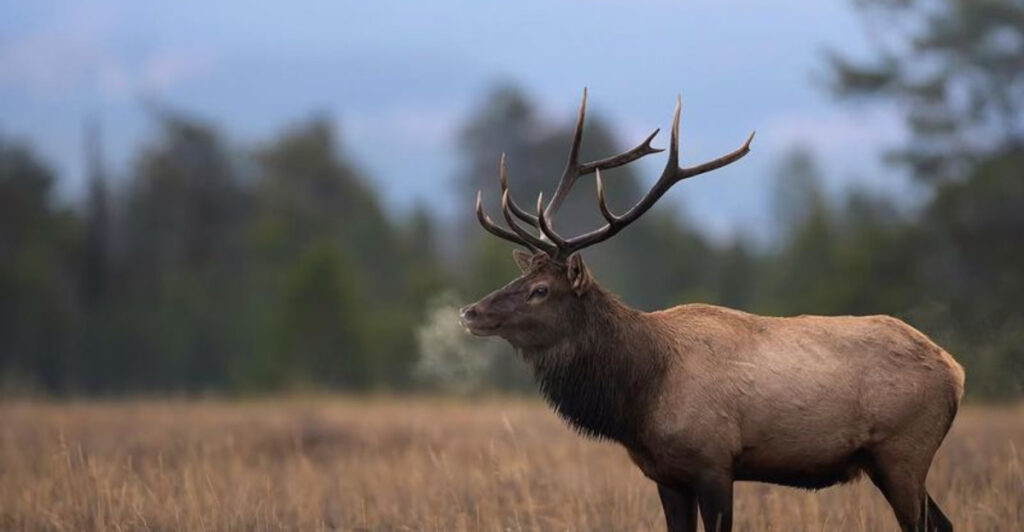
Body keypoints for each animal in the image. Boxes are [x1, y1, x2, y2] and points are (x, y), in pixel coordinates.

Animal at [459, 89, 965, 532]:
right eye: (521, 279)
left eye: (540, 290)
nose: (469, 312)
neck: (640, 393)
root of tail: (955, 371)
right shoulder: (666, 475)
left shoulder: (714, 460)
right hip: (889, 461)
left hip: (903, 452)